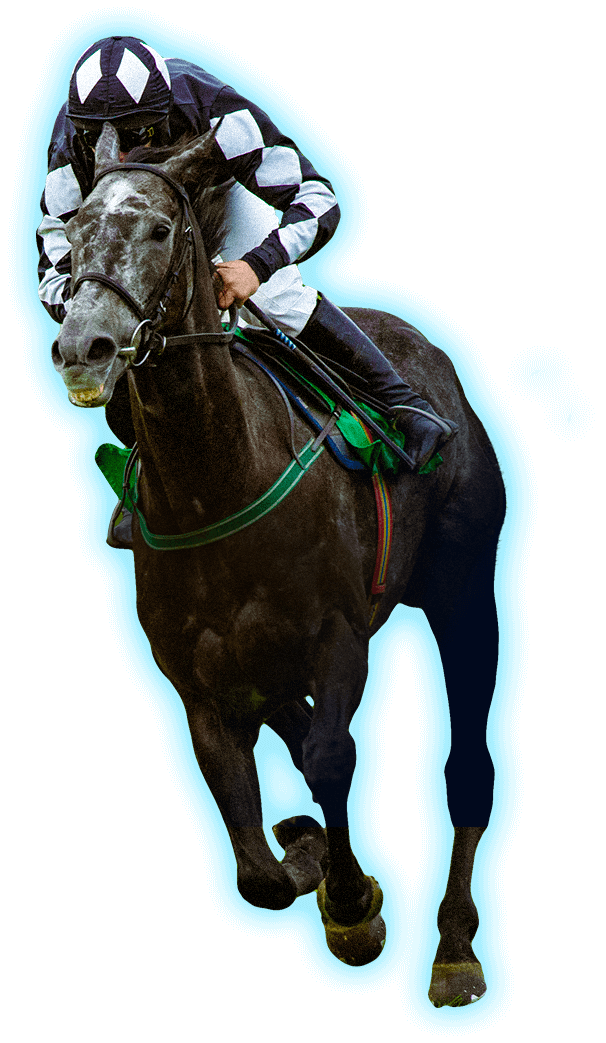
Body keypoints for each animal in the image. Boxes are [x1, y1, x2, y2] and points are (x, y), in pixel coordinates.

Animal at [50, 121, 506, 1006]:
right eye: (73, 235)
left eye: (160, 230)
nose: (85, 344)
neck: (216, 484)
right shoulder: (198, 681)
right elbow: (257, 867)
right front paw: (313, 860)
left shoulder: (339, 634)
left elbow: (331, 757)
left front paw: (353, 903)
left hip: (464, 586)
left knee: (467, 756)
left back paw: (456, 946)